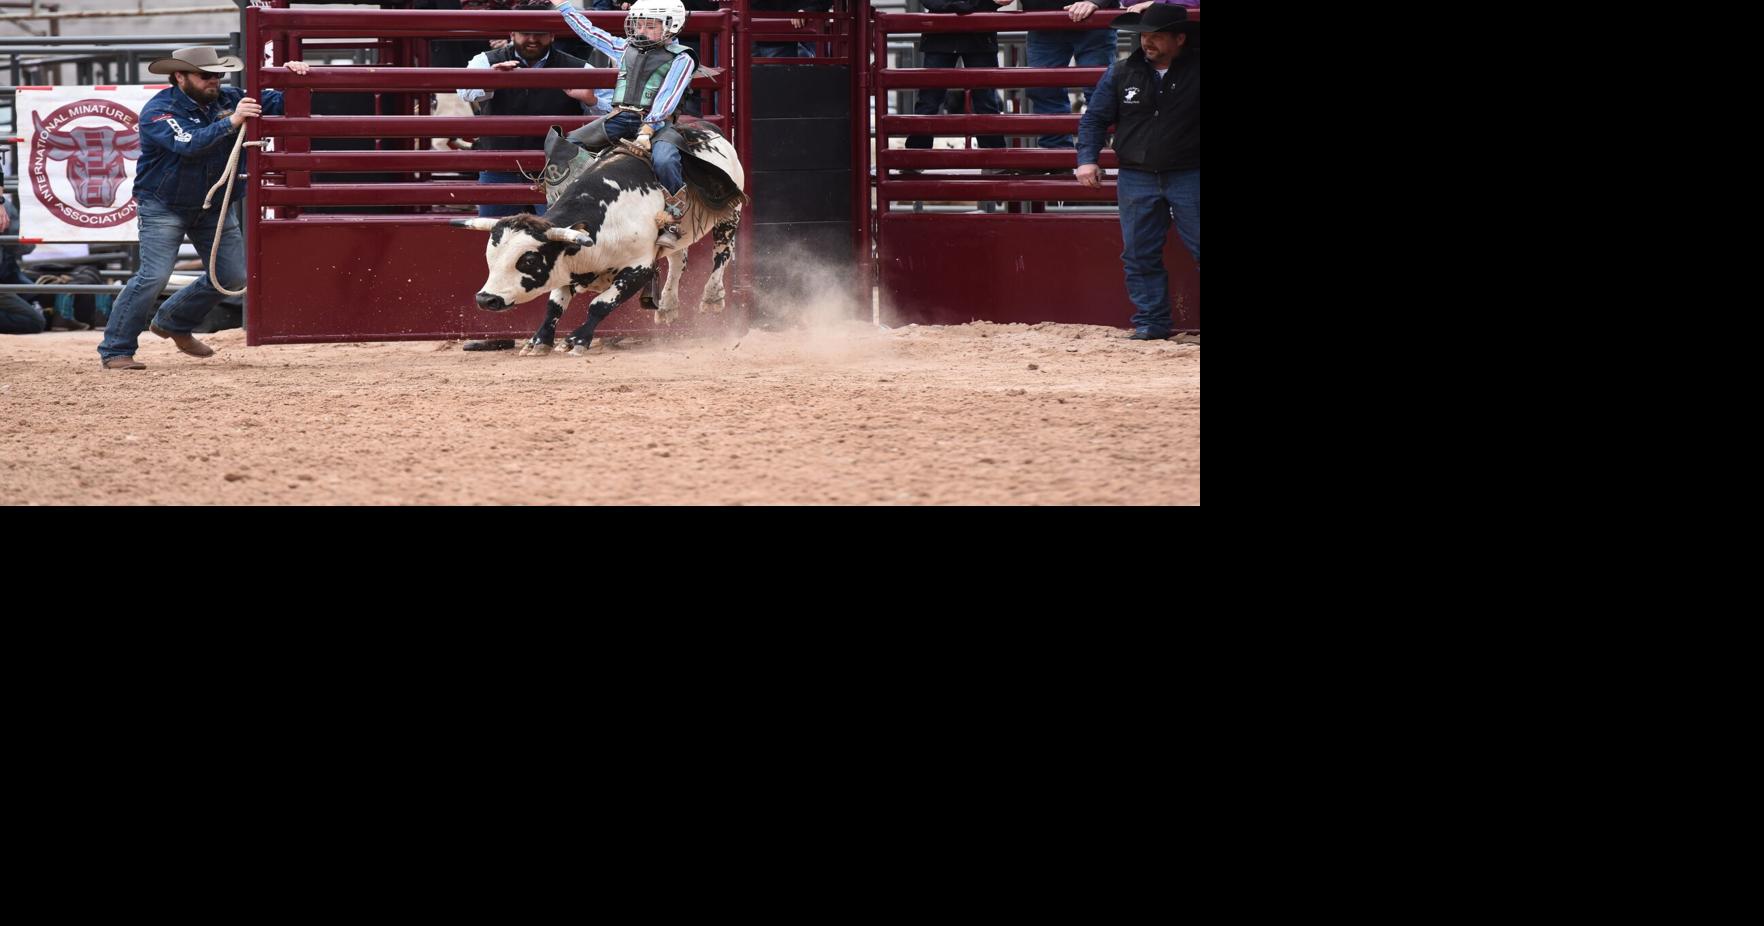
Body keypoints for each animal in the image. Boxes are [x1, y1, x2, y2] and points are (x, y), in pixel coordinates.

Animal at [450, 122, 745, 357]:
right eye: (490, 257)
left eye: (530, 259)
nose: (486, 299)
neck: (606, 218)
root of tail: (707, 127)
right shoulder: (568, 263)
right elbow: (554, 306)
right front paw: (539, 341)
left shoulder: (639, 267)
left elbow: (601, 305)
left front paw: (577, 340)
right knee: (677, 259)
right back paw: (668, 306)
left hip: (730, 215)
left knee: (722, 253)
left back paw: (712, 297)